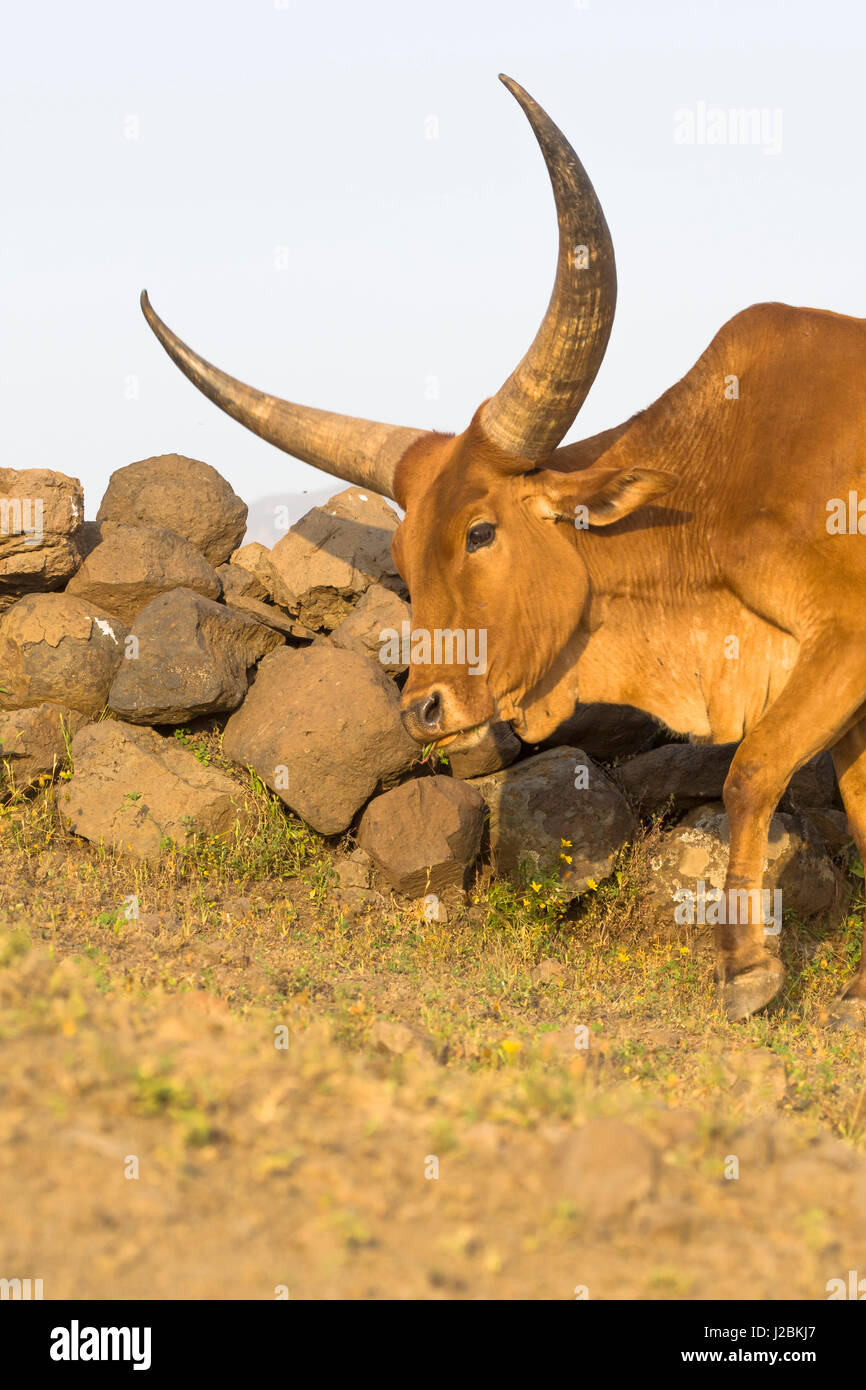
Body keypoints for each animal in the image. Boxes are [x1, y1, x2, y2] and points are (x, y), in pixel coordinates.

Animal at [140, 75, 866, 1029]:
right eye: (402, 550)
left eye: (481, 530)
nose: (424, 709)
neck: (718, 485)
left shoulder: (845, 644)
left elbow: (750, 775)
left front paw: (747, 967)